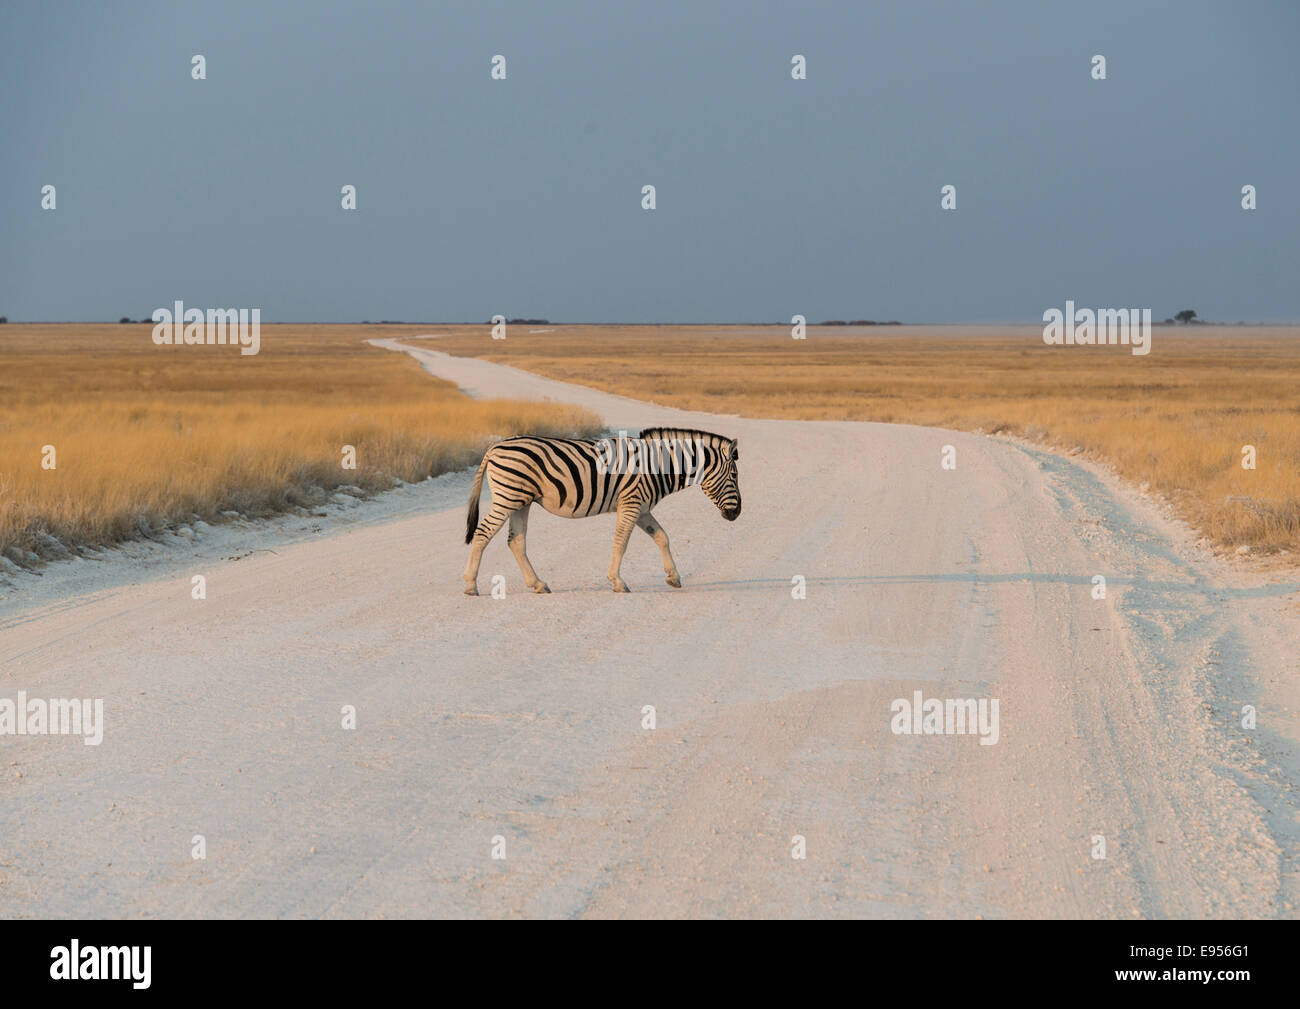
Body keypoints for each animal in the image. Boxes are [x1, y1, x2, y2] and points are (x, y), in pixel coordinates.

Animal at [463, 427, 741, 594]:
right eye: (735, 476)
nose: (736, 514)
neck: (657, 466)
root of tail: (494, 447)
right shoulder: (631, 503)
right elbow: (621, 542)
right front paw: (617, 582)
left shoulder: (642, 508)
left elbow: (662, 537)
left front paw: (673, 577)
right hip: (508, 496)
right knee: (482, 533)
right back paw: (471, 584)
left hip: (521, 500)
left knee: (516, 541)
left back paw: (538, 584)